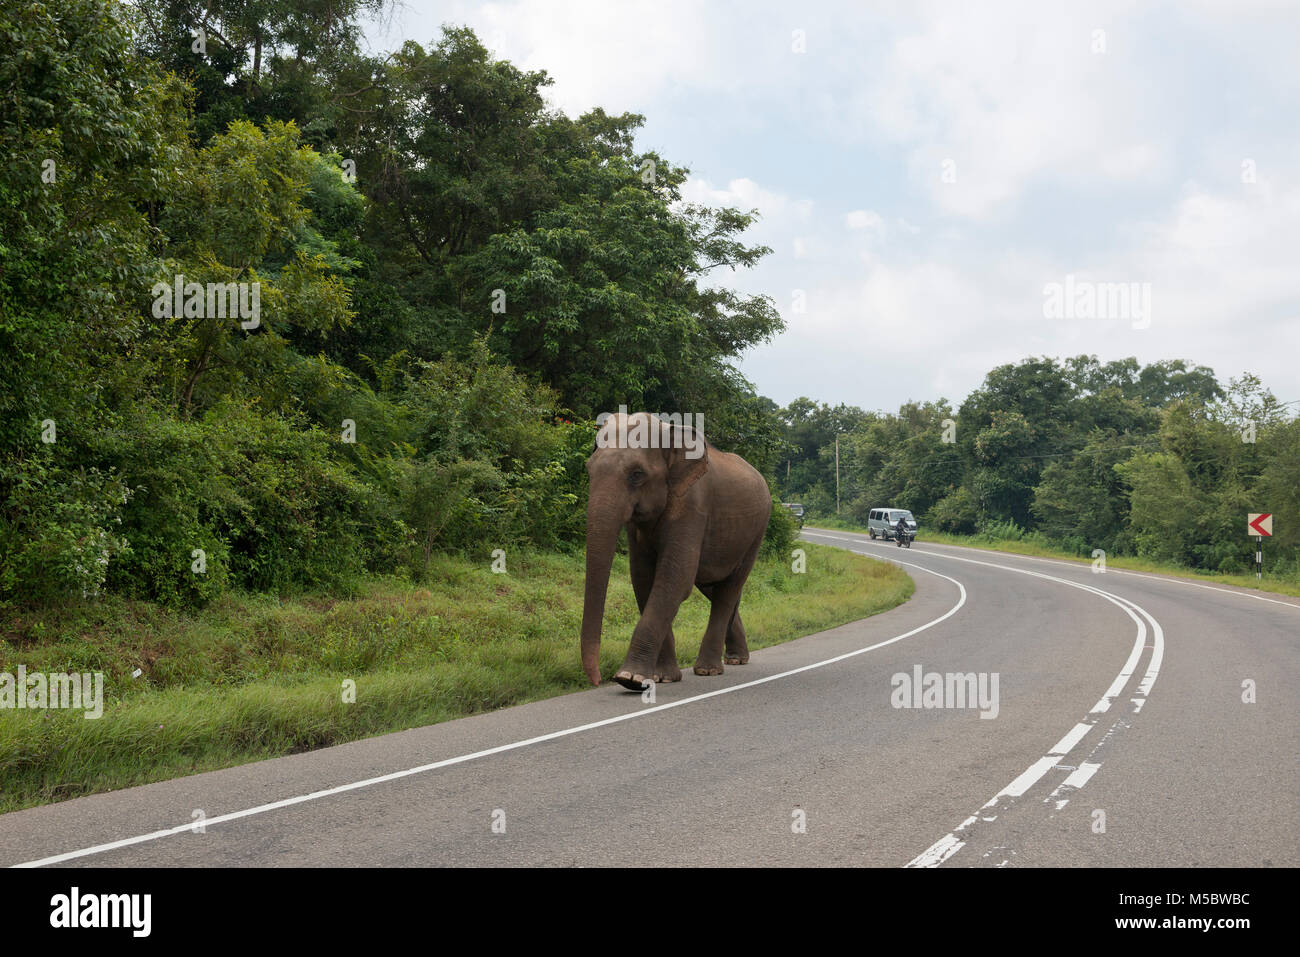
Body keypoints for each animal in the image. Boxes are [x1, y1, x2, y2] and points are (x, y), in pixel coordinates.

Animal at [579, 411, 773, 690]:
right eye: (589, 469)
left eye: (636, 474)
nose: (597, 680)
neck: (667, 432)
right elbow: (643, 579)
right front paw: (661, 678)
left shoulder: (692, 506)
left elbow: (674, 579)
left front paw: (630, 679)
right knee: (713, 587)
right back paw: (736, 659)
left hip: (757, 531)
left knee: (728, 588)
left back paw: (709, 670)